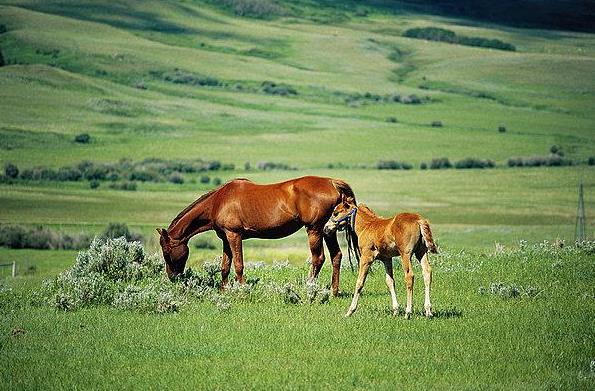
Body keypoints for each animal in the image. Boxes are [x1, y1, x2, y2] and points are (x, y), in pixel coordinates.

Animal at [156, 176, 356, 296]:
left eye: (166, 252)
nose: (172, 277)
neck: (218, 202)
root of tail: (332, 182)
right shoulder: (226, 239)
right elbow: (225, 267)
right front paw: (224, 290)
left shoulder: (234, 235)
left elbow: (238, 265)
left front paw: (242, 290)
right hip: (327, 230)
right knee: (336, 256)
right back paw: (334, 292)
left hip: (314, 229)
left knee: (318, 258)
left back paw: (309, 288)